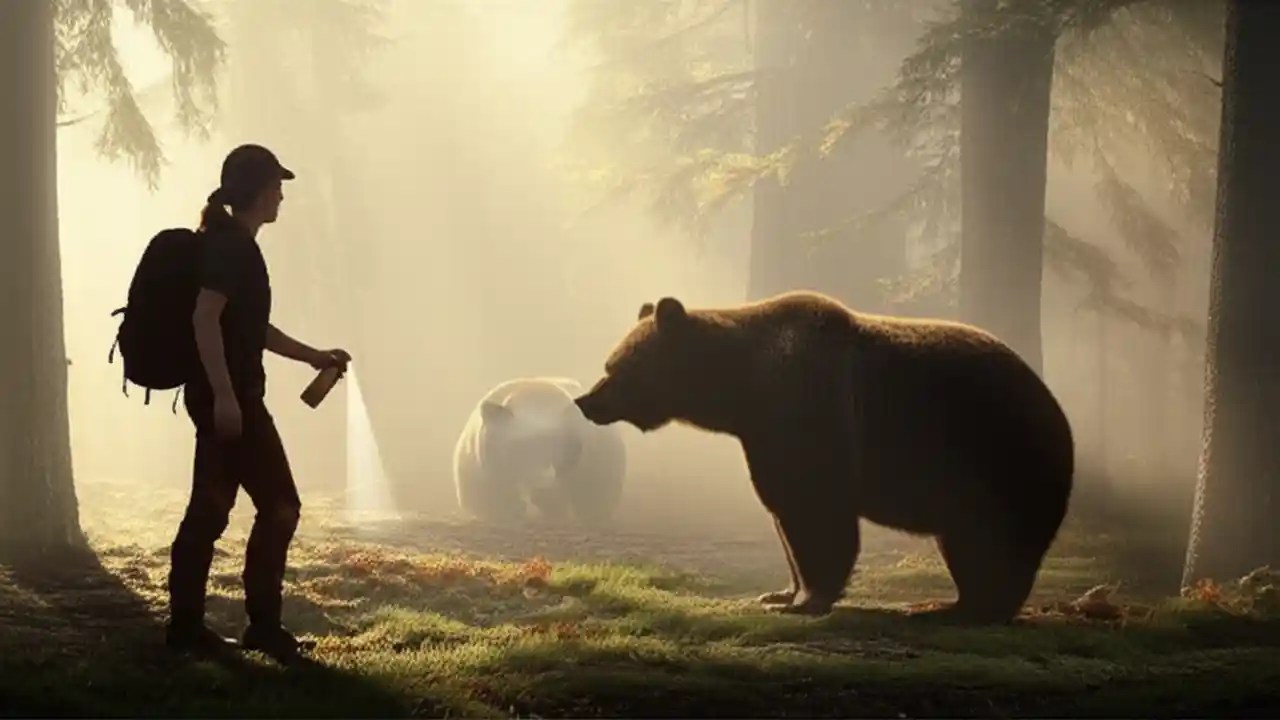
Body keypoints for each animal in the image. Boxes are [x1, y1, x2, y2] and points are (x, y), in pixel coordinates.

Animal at [573, 291, 1075, 624]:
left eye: (618, 366)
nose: (585, 401)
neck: (740, 390)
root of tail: (1059, 412)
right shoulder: (763, 437)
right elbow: (784, 511)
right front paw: (780, 593)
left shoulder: (806, 409)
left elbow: (814, 510)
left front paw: (808, 599)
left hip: (995, 458)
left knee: (991, 543)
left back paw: (955, 607)